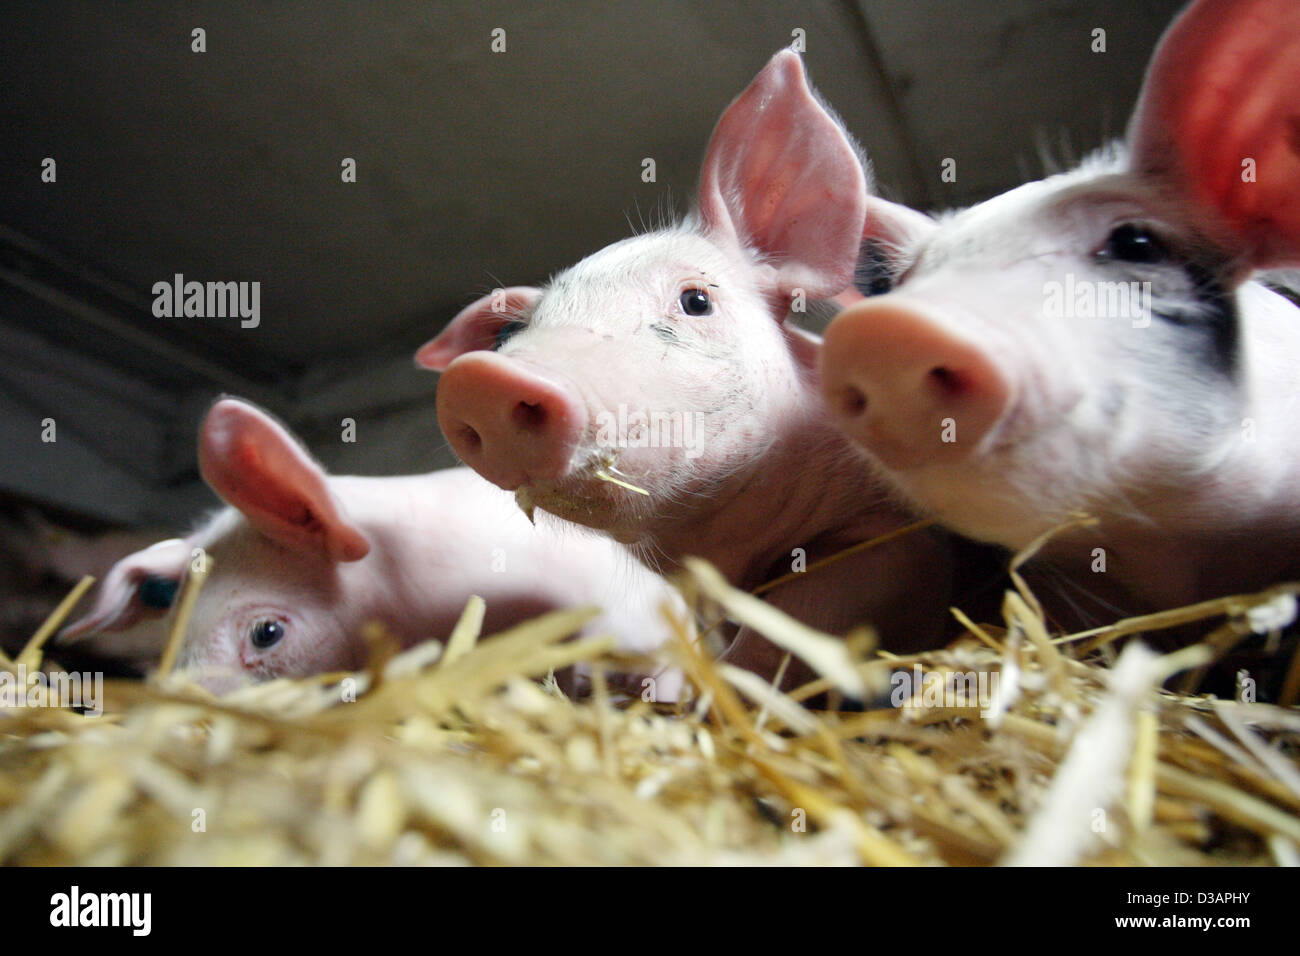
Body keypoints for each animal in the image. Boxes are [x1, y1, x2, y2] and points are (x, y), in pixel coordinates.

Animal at [417, 51, 956, 684]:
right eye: (506, 334)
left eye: (696, 300)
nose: (480, 380)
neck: (723, 549)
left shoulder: (895, 539)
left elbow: (801, 615)